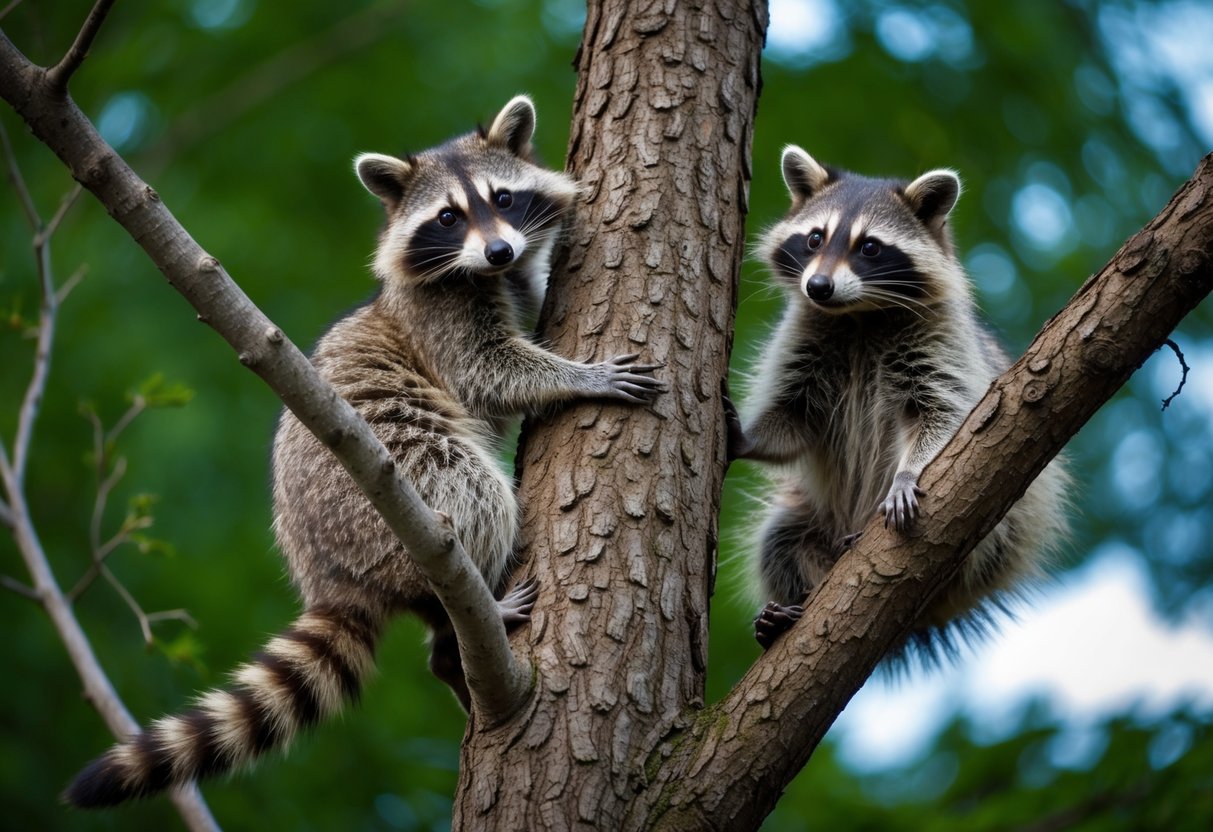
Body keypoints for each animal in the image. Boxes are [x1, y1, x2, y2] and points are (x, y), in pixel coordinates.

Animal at [65, 95, 667, 808]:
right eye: (448, 217)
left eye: (504, 199)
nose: (498, 250)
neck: (482, 272)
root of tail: (334, 580)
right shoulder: (439, 317)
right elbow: (492, 373)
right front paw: (579, 375)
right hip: (387, 496)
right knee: (474, 491)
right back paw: (478, 604)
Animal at [729, 146, 1069, 661]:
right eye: (814, 238)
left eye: (869, 247)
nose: (818, 287)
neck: (857, 315)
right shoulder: (805, 335)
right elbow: (794, 418)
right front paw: (747, 437)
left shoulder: (943, 343)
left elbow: (946, 416)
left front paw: (908, 473)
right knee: (778, 538)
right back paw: (788, 607)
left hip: (1010, 520)